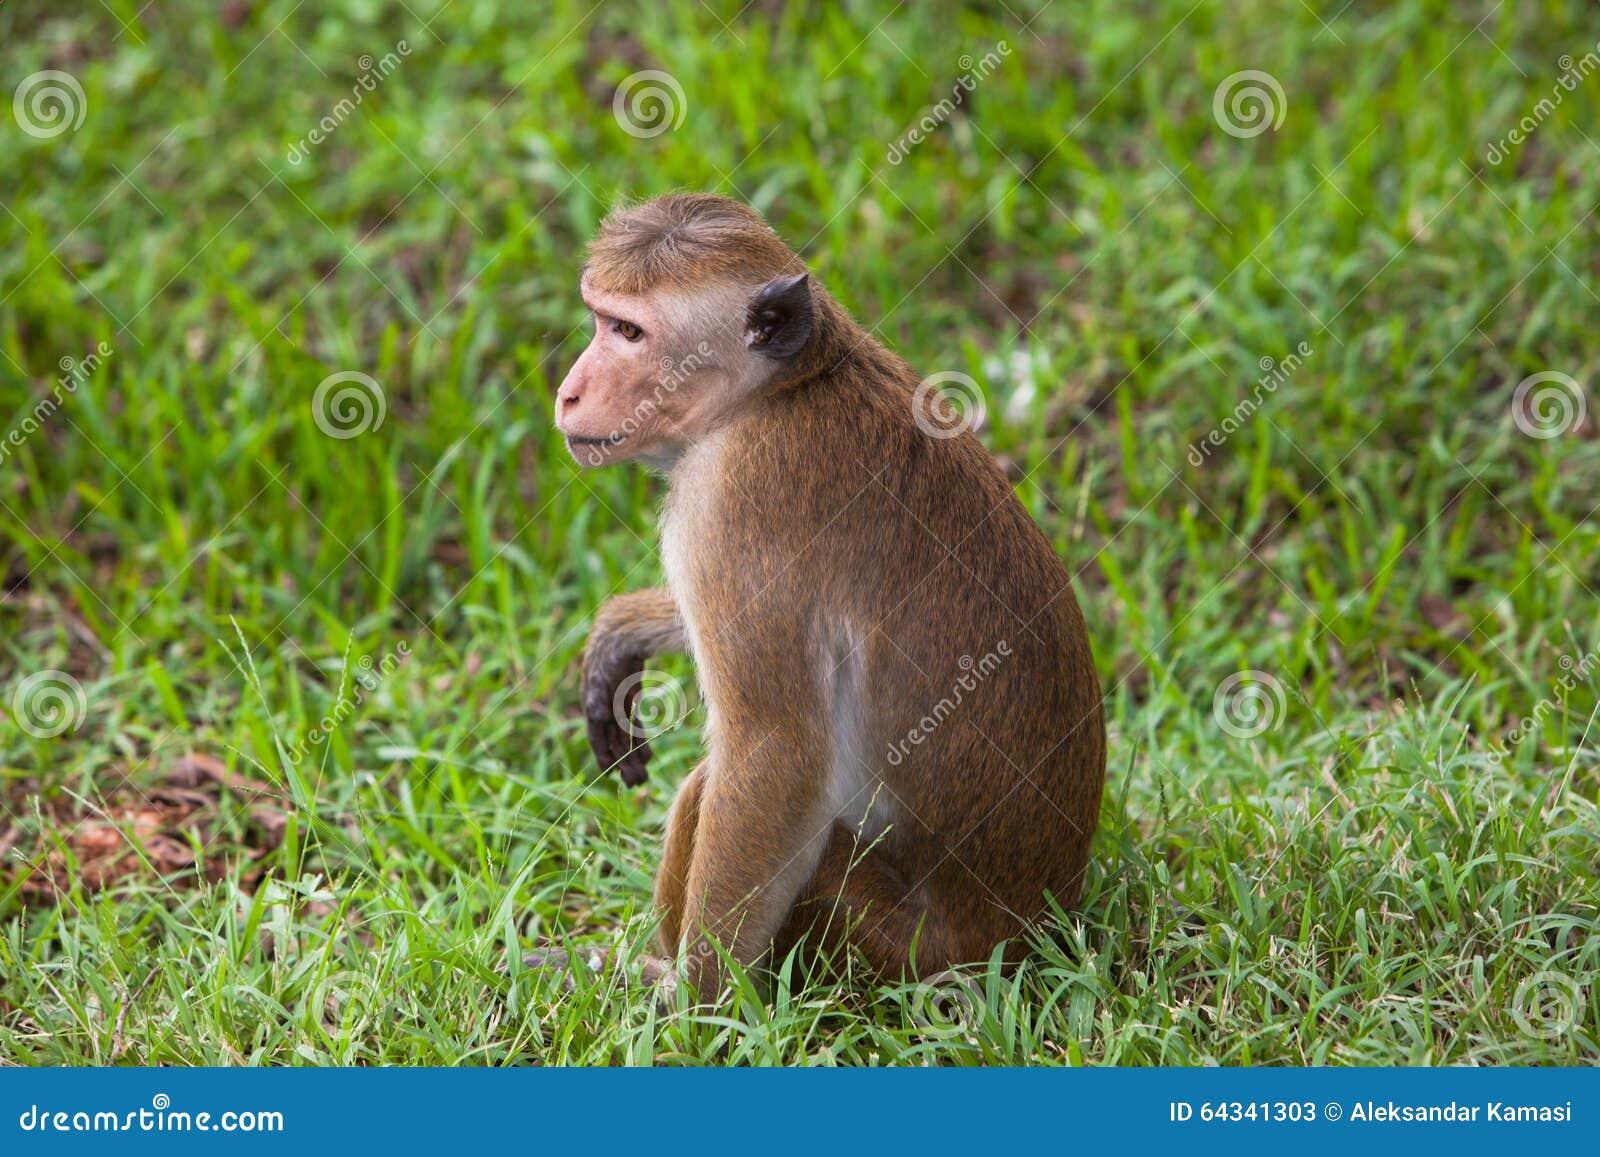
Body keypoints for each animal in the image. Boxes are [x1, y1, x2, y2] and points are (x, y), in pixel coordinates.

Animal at [549, 192, 1105, 1000]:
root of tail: (1025, 936)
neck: (785, 388)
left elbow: (776, 754)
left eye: (628, 331)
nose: (567, 391)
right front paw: (622, 633)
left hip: (886, 943)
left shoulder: (732, 497)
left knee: (715, 785)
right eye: (599, 318)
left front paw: (695, 1003)